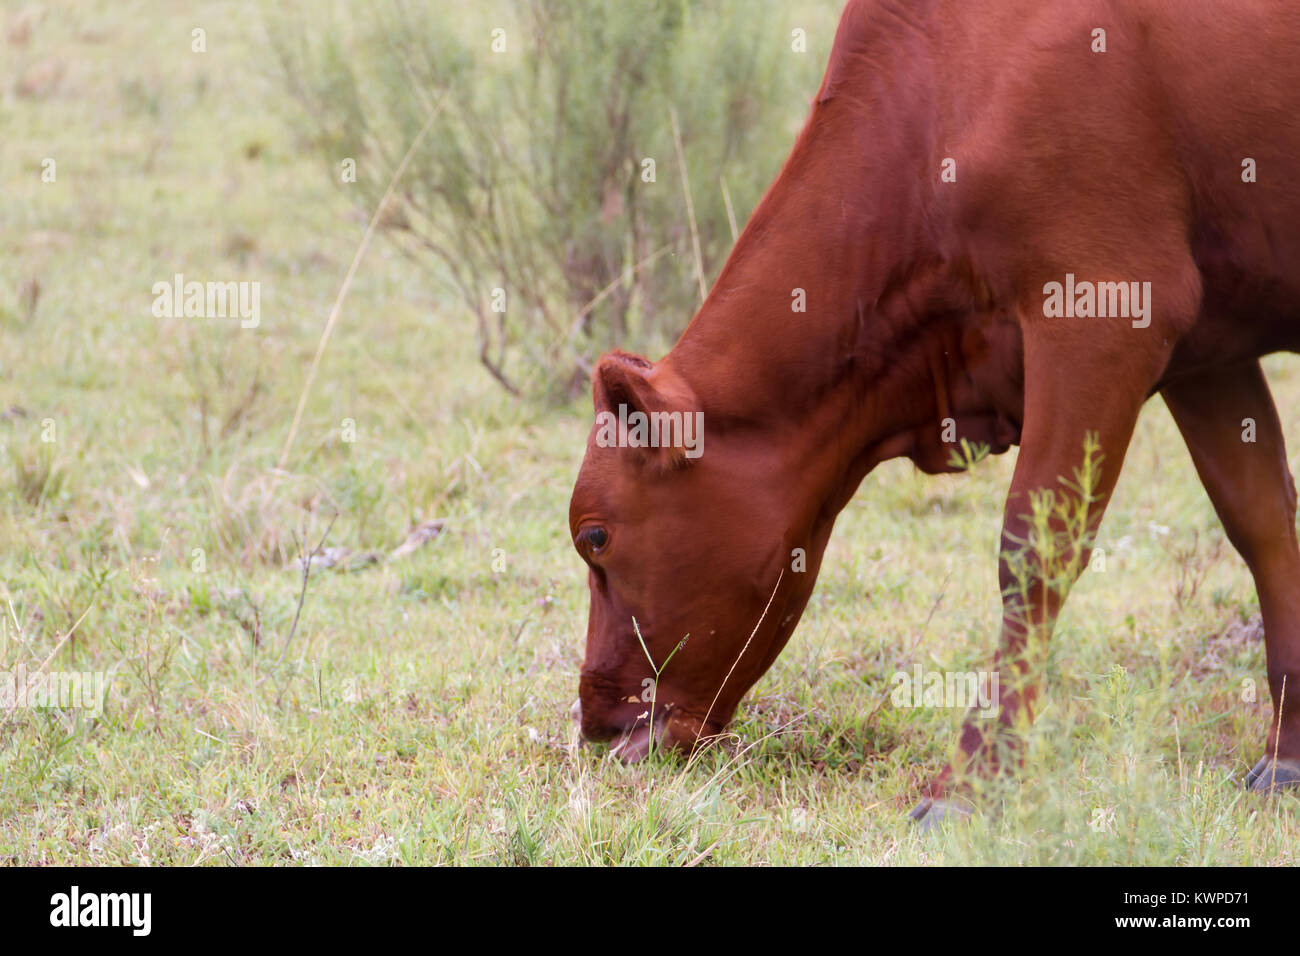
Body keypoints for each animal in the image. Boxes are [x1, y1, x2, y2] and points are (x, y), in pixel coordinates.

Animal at [567, 0, 1300, 826]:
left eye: (595, 536)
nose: (595, 723)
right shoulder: (1207, 350)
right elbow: (1260, 521)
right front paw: (1288, 750)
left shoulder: (1105, 312)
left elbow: (1032, 549)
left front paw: (970, 784)